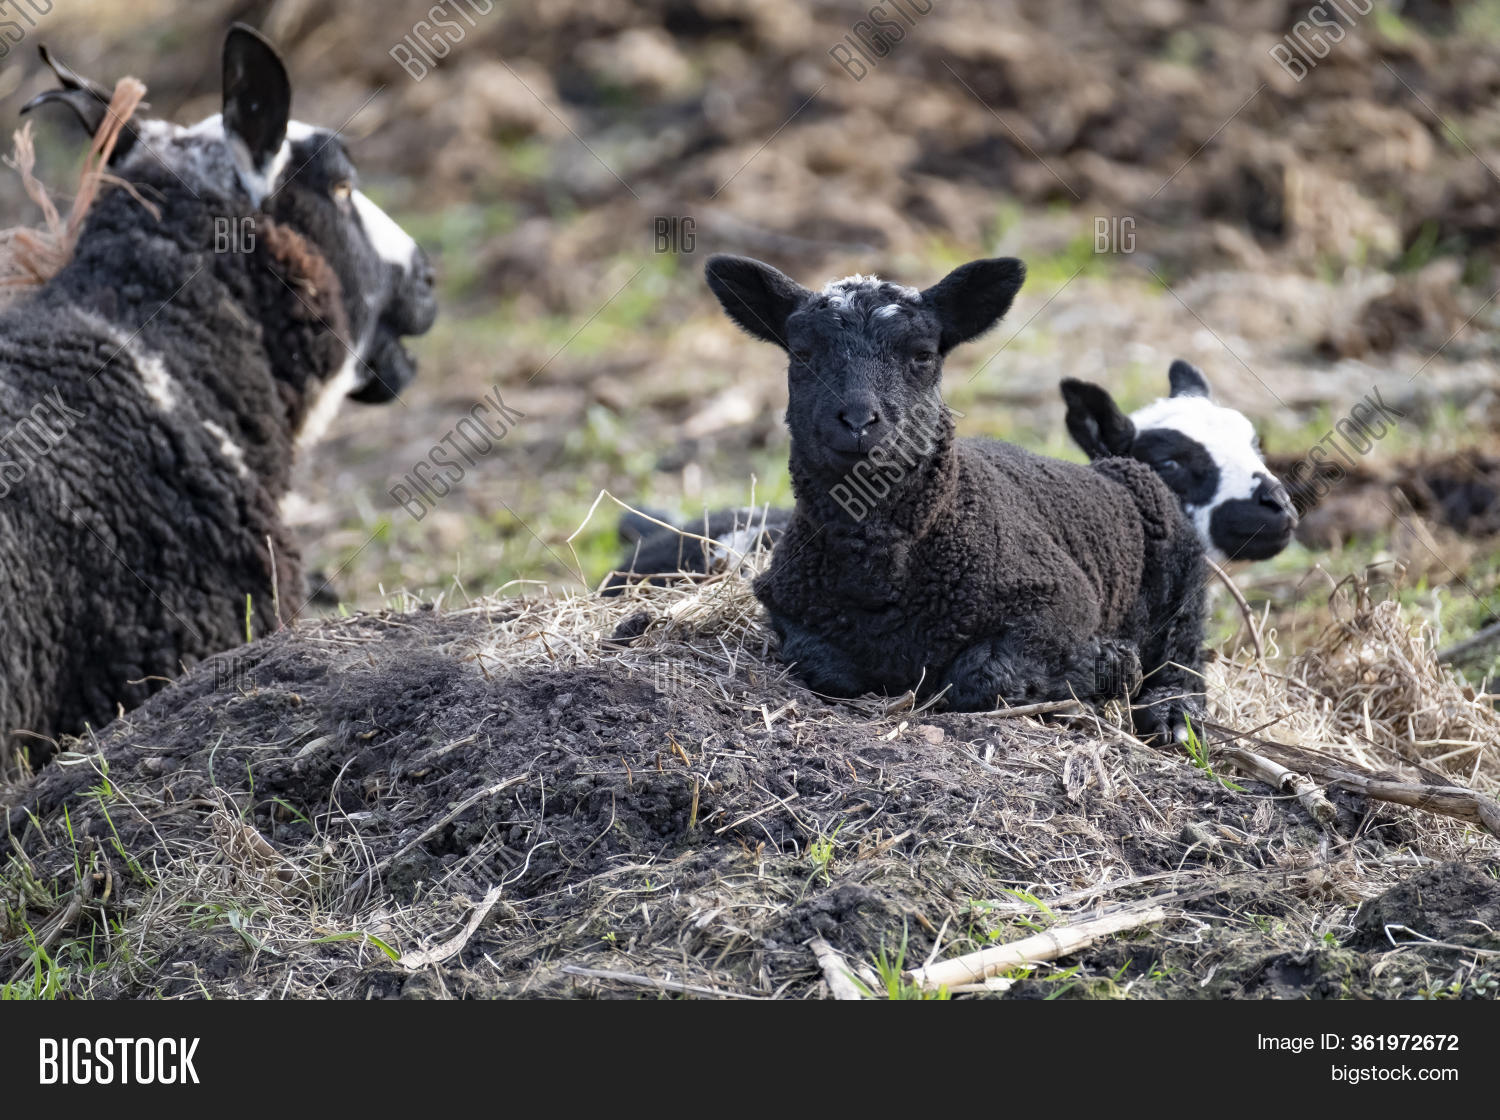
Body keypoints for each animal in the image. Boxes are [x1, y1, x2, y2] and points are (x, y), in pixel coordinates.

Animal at [676, 253, 1209, 739]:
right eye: (803, 354)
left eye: (921, 355)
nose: (858, 421)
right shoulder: (790, 608)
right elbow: (826, 667)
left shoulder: (1059, 601)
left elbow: (982, 677)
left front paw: (1107, 664)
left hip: (1180, 567)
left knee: (1183, 650)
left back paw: (1171, 712)